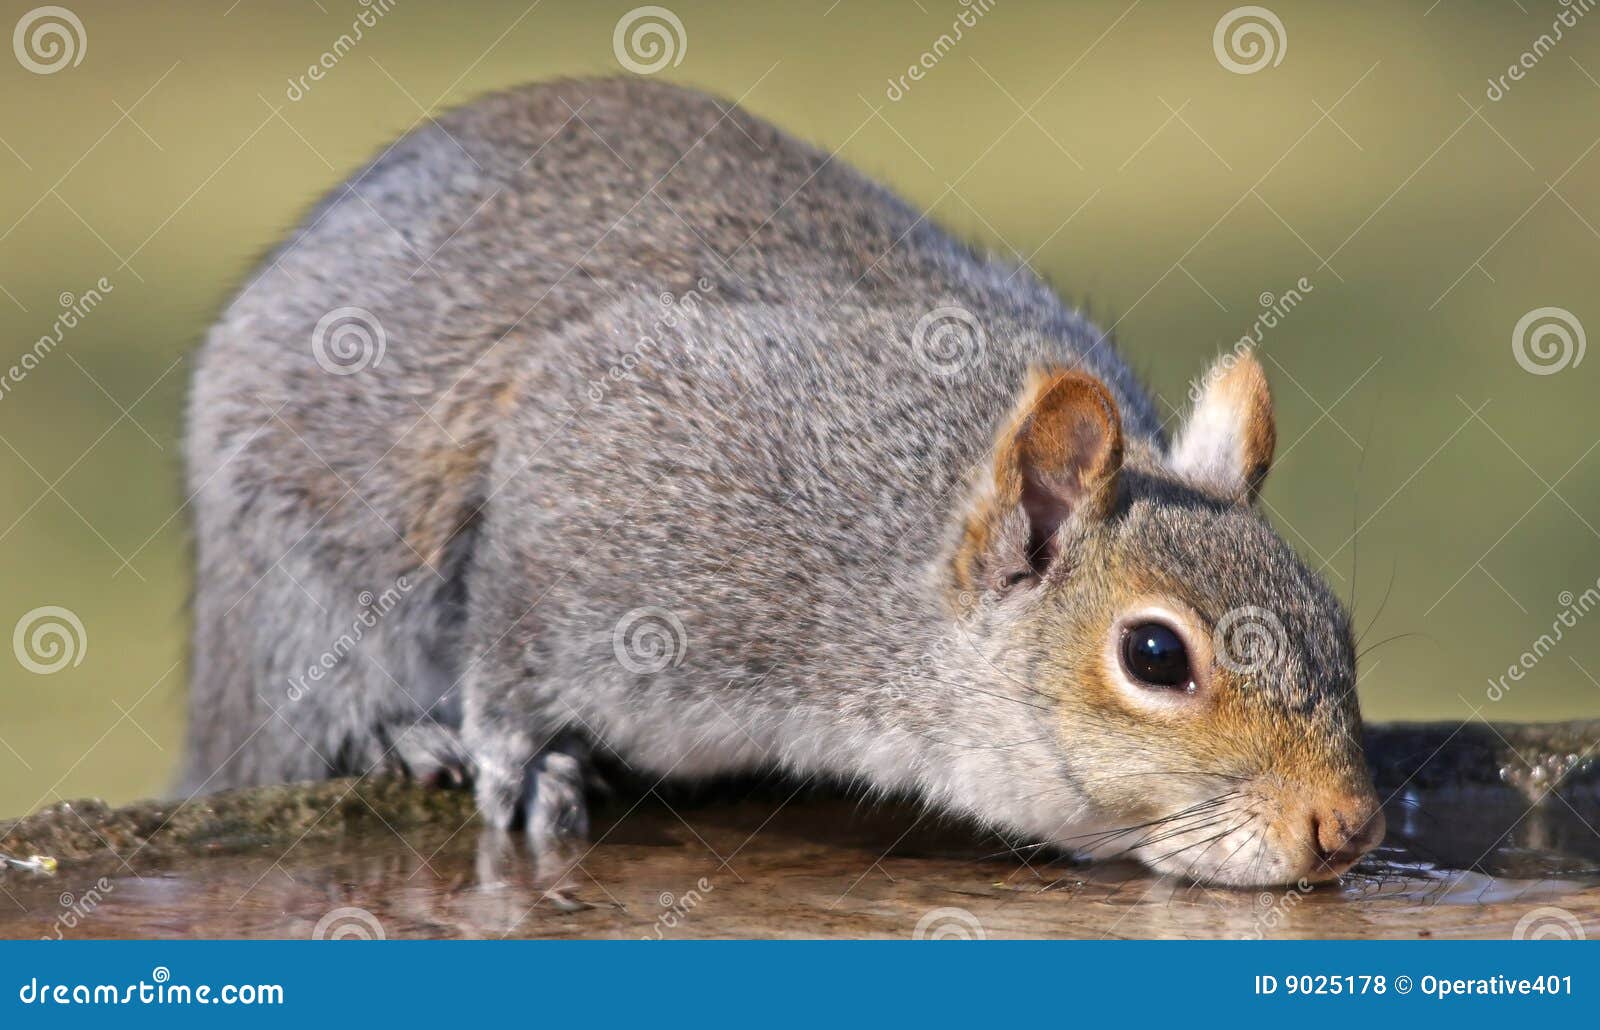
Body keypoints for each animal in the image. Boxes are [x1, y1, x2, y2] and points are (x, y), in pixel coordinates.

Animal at [182, 78, 1383, 887]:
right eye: (1154, 656)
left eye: (1337, 623)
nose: (1349, 826)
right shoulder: (617, 478)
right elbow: (516, 642)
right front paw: (516, 756)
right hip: (297, 580)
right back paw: (399, 734)